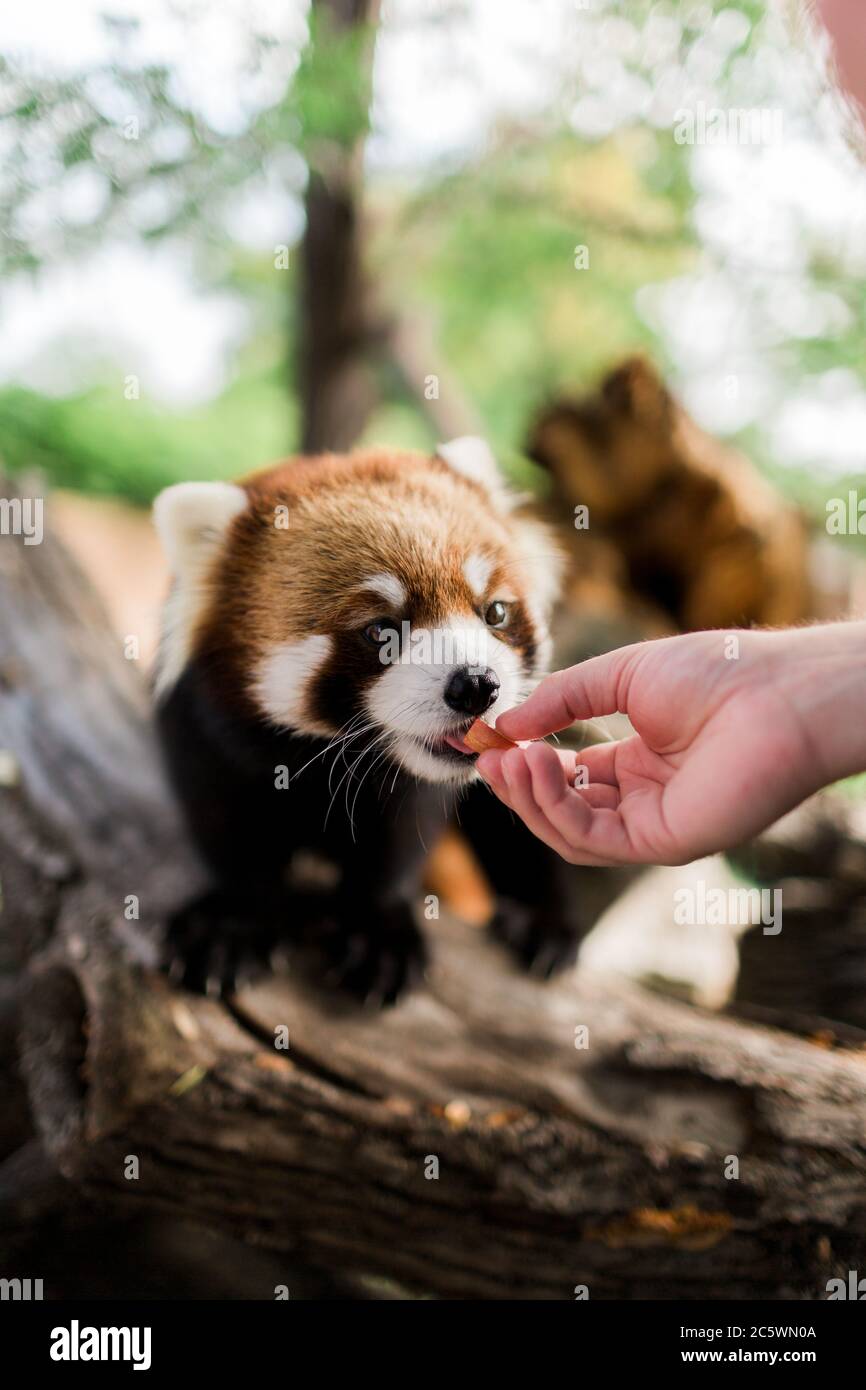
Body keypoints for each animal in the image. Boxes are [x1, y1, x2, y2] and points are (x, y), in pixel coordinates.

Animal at [152, 437, 588, 1004]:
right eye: (381, 630)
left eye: (494, 612)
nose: (476, 685)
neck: (317, 758)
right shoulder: (203, 728)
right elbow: (225, 819)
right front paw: (232, 921)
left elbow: (400, 838)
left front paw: (378, 929)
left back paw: (545, 920)